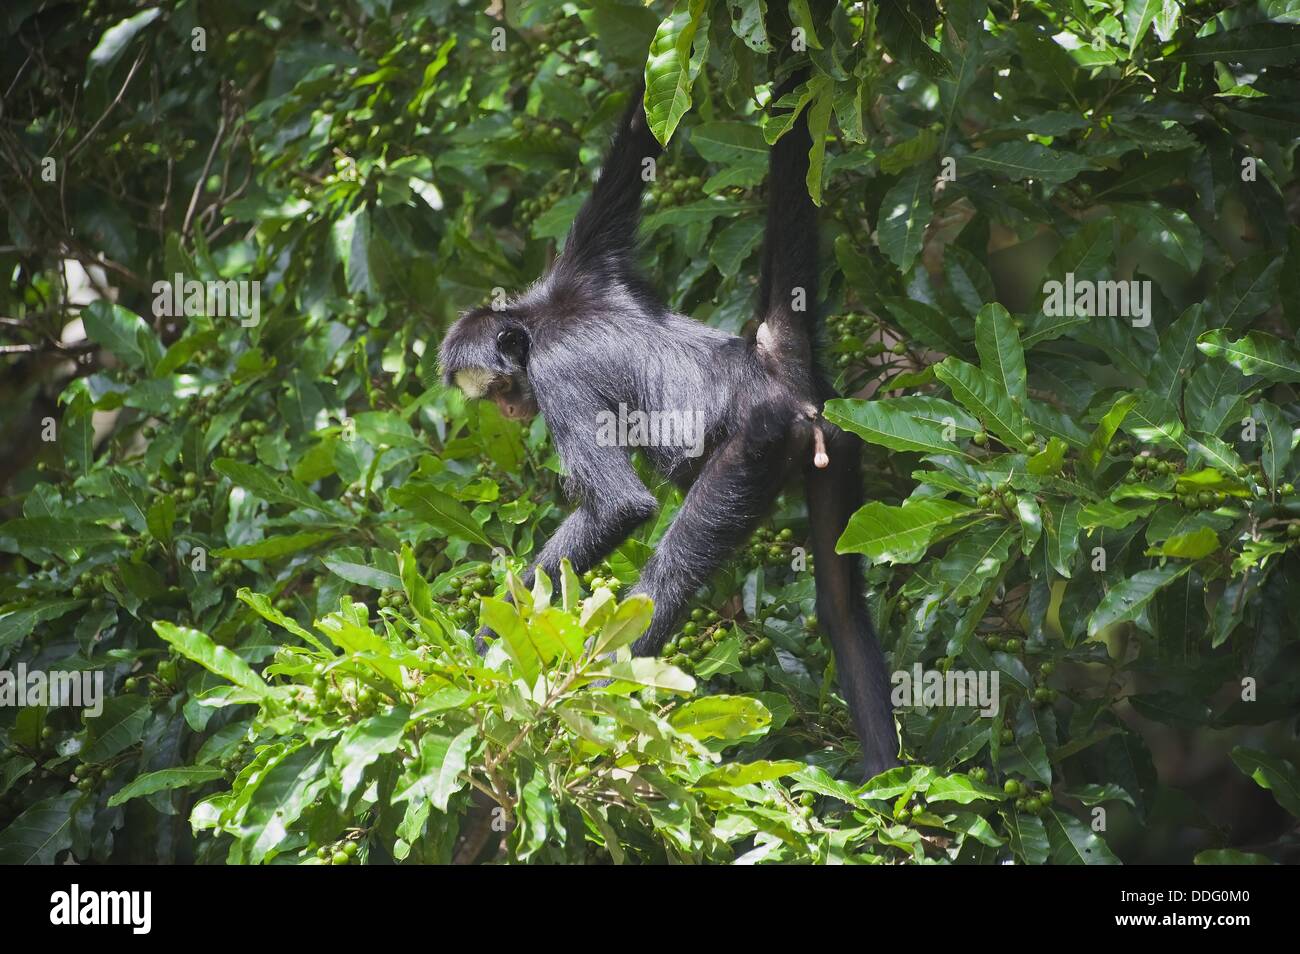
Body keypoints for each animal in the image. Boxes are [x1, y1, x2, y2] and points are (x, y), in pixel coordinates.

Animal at [439, 69, 899, 777]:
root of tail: (770, 377)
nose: (511, 410)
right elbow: (638, 139)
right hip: (839, 441)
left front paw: (495, 640)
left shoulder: (557, 377)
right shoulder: (582, 264)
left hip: (754, 447)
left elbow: (620, 507)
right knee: (844, 611)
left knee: (669, 577)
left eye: (503, 389)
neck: (540, 322)